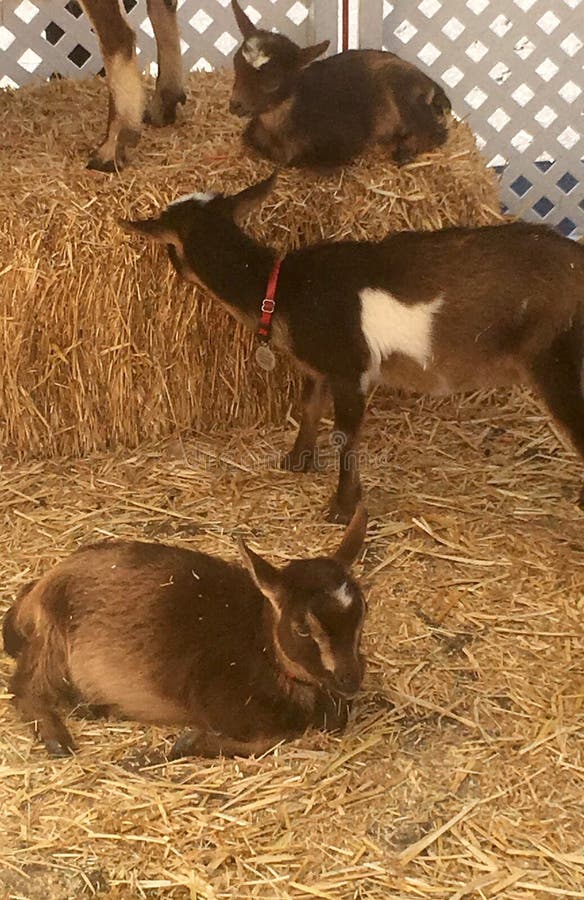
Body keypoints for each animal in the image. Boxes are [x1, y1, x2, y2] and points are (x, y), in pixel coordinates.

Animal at [3, 506, 368, 759]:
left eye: (363, 613)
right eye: (302, 627)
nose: (351, 677)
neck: (260, 646)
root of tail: (38, 587)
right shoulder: (215, 701)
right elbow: (270, 740)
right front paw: (190, 743)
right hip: (51, 631)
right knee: (23, 687)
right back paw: (56, 737)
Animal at [122, 175, 584, 522]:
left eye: (170, 248)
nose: (172, 266)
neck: (281, 290)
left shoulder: (350, 368)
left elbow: (346, 436)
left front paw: (341, 509)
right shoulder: (319, 367)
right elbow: (309, 408)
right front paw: (297, 461)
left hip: (560, 365)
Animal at [229, 0, 451, 167]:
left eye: (273, 80)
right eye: (236, 63)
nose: (235, 105)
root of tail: (432, 85)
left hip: (406, 97)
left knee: (438, 133)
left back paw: (404, 152)